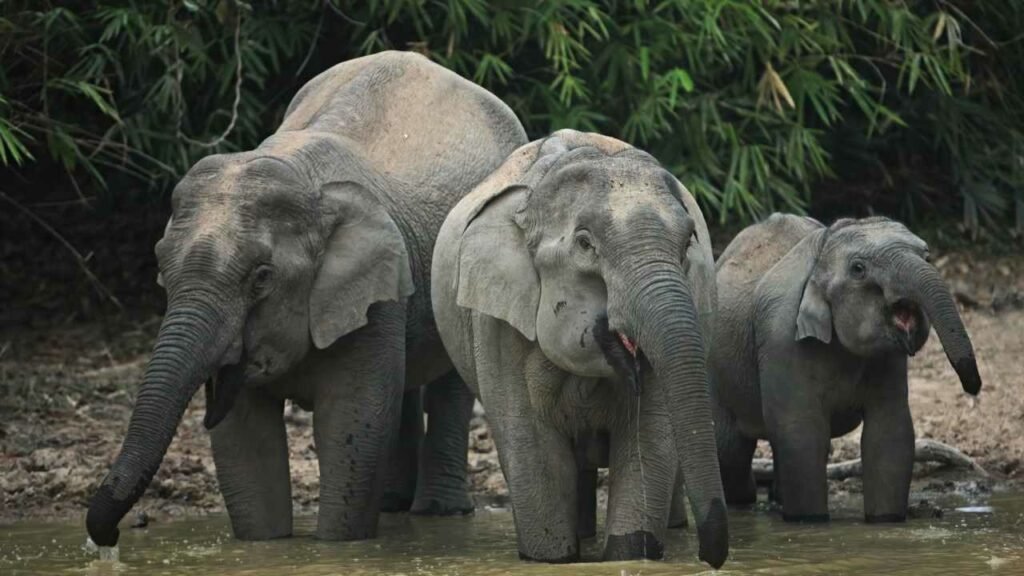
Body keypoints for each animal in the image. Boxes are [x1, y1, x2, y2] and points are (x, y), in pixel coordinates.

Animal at [86, 51, 527, 547]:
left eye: (261, 277)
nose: (112, 537)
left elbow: (352, 420)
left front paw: (338, 546)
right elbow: (246, 438)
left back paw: (440, 511)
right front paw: (265, 545)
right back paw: (395, 505)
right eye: (161, 270)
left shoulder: (372, 295)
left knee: (448, 385)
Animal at [431, 129, 729, 568]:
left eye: (687, 244)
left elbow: (649, 436)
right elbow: (534, 448)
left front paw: (630, 557)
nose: (711, 559)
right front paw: (553, 558)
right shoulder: (498, 323)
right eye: (586, 244)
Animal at [709, 213, 982, 522]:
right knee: (731, 448)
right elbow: (802, 433)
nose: (973, 387)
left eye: (927, 256)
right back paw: (742, 504)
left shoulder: (889, 357)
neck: (822, 253)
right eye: (858, 269)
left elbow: (890, 431)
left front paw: (885, 521)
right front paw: (809, 521)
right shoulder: (781, 339)